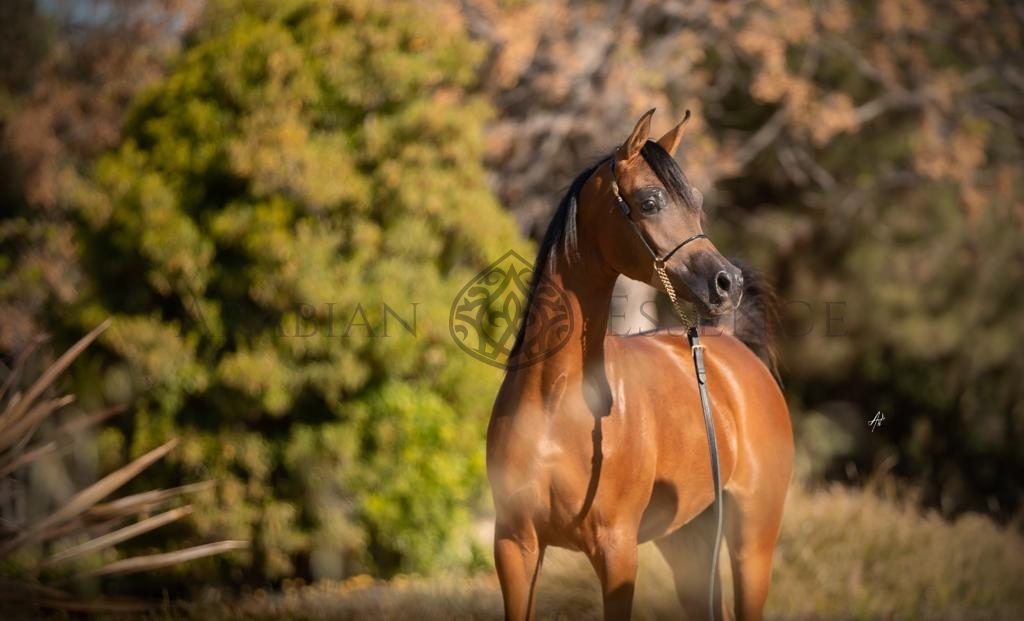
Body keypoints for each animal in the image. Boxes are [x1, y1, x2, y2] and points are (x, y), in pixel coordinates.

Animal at [486, 109, 794, 621]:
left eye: (698, 202)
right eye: (650, 202)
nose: (727, 281)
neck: (558, 403)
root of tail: (733, 351)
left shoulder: (617, 552)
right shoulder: (515, 545)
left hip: (753, 543)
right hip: (690, 543)